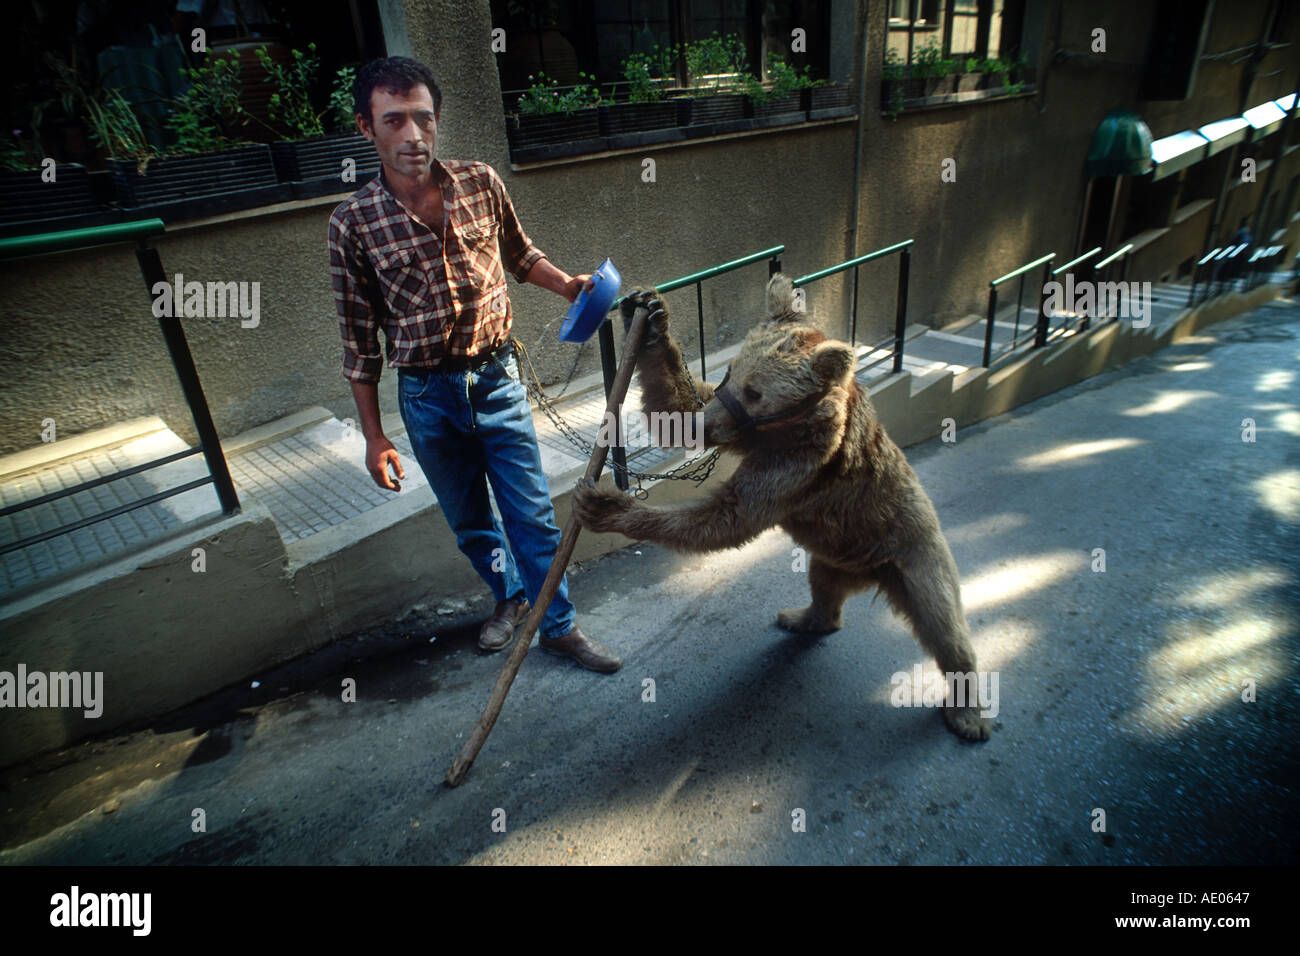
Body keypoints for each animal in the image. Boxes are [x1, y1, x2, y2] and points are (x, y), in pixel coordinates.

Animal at [572, 275, 991, 742]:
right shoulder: (748, 433)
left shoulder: (798, 469)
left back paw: (967, 714)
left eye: (757, 392)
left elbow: (728, 517)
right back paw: (803, 617)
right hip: (834, 554)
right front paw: (650, 315)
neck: (790, 427)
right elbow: (678, 406)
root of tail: (870, 574)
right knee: (823, 587)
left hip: (916, 551)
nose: (708, 425)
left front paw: (605, 504)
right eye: (731, 372)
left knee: (943, 623)